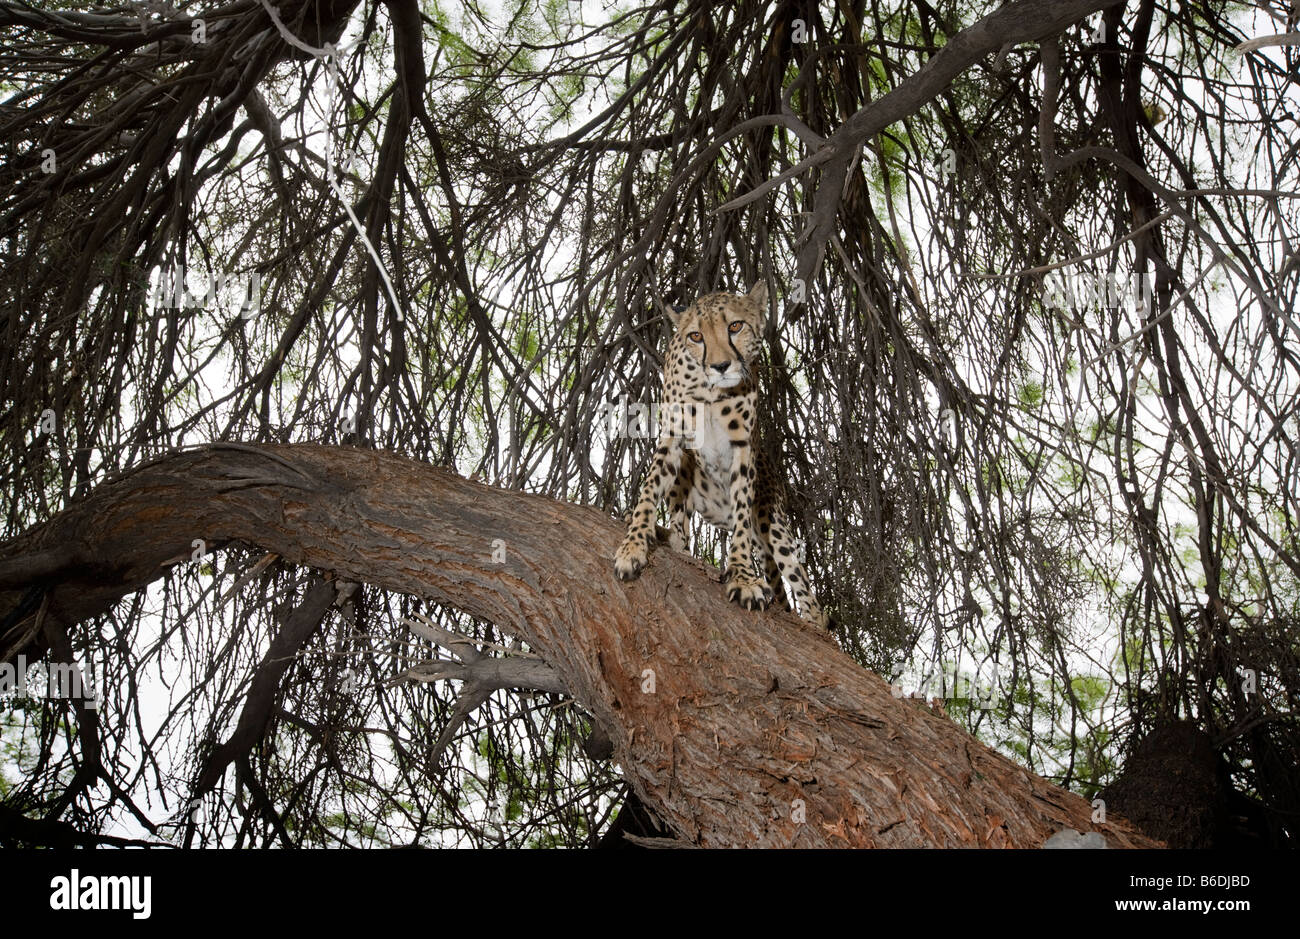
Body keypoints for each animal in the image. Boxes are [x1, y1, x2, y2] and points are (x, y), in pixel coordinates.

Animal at [613, 280, 831, 629]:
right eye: (696, 336)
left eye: (735, 326)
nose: (720, 366)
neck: (710, 390)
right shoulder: (673, 437)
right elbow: (648, 490)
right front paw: (633, 546)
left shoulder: (742, 448)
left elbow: (741, 512)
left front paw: (742, 576)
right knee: (681, 527)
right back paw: (672, 541)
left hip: (771, 520)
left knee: (802, 584)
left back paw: (813, 622)